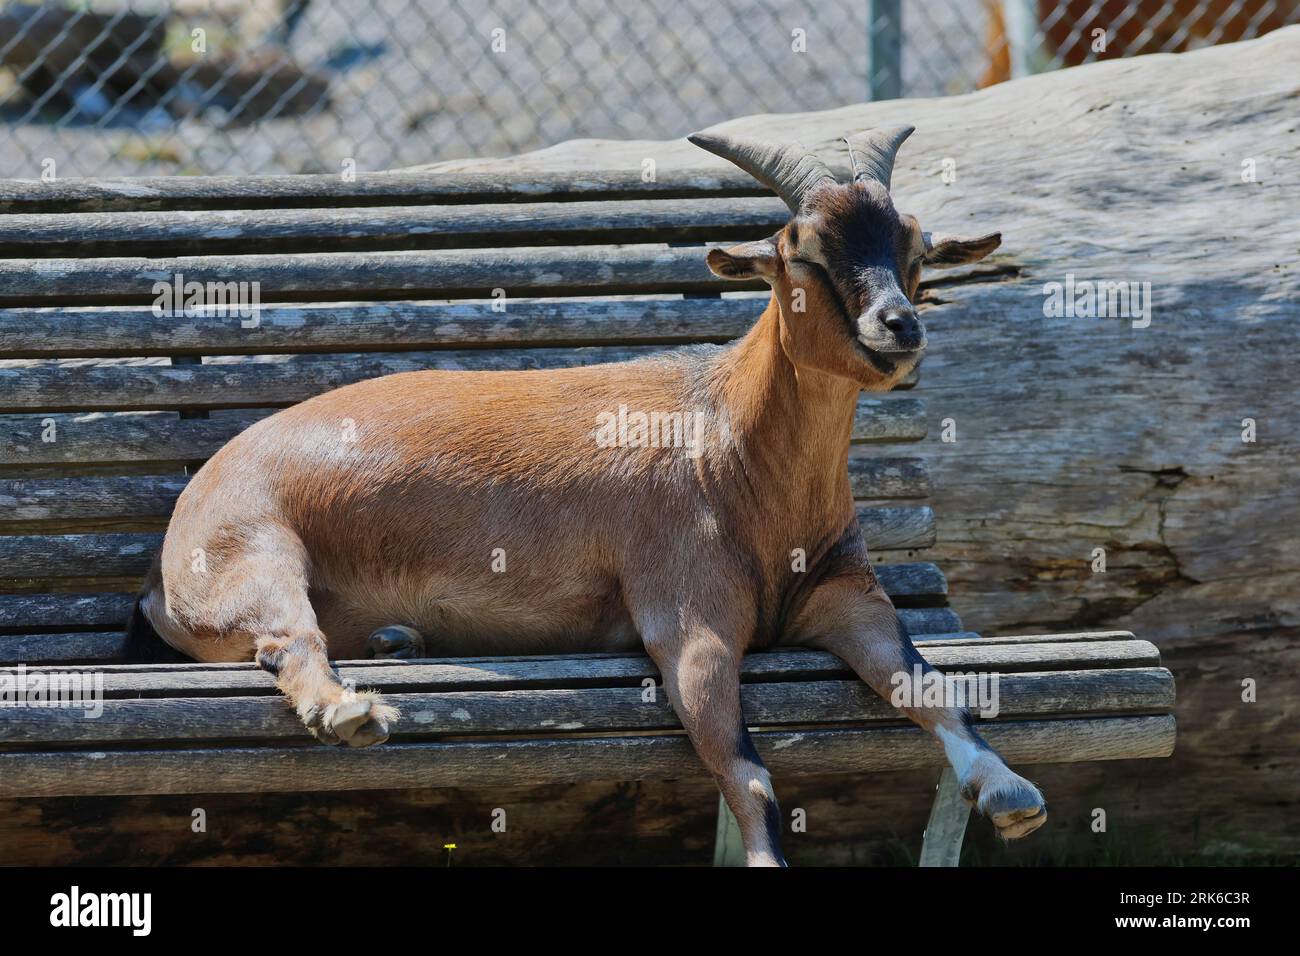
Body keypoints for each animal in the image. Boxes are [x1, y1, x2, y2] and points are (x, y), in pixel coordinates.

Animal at [132, 126, 1046, 866]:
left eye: (915, 248)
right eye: (805, 250)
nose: (898, 327)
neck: (727, 449)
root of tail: (166, 569)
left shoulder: (843, 593)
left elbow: (929, 684)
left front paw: (1009, 793)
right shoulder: (689, 620)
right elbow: (747, 772)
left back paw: (394, 642)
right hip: (257, 550)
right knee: (286, 639)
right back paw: (353, 715)